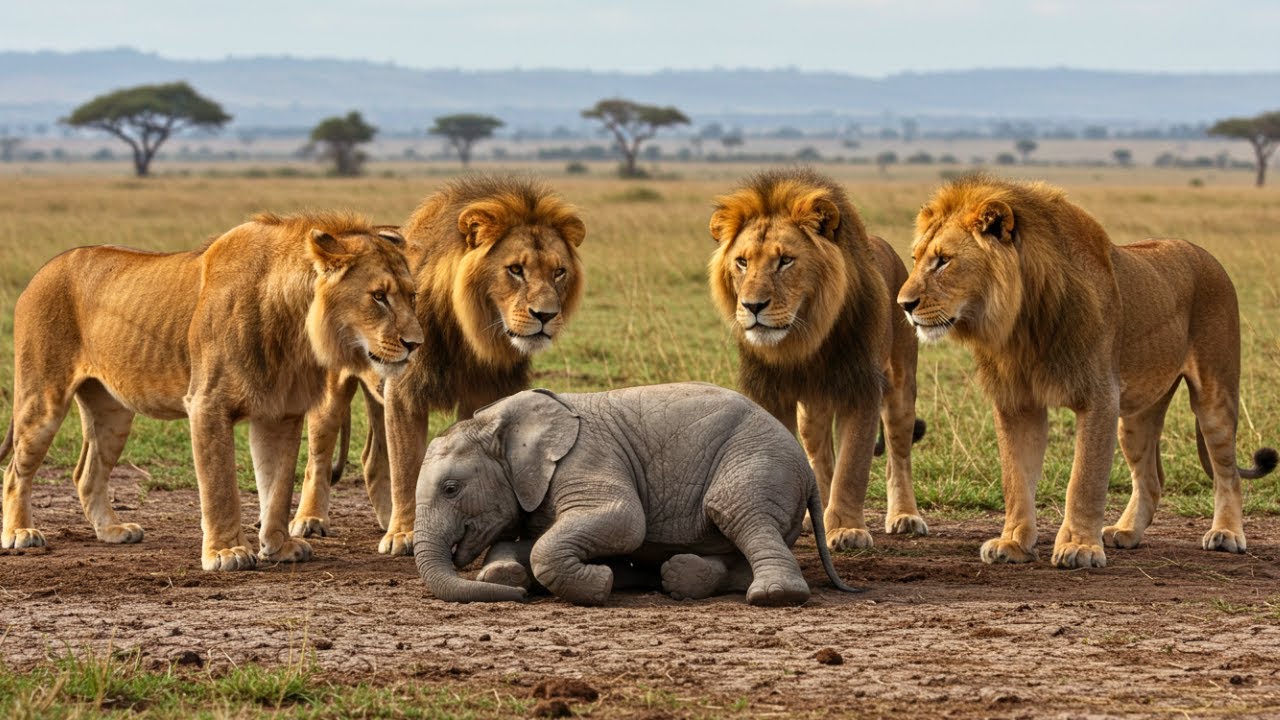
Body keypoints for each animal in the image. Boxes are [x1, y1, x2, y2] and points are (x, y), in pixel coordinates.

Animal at [0, 212, 423, 571]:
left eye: (412, 295)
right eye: (378, 296)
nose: (416, 344)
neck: (295, 325)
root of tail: (42, 271)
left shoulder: (280, 413)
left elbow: (277, 486)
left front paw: (278, 546)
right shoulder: (207, 404)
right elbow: (221, 487)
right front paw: (226, 552)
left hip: (113, 413)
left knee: (87, 473)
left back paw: (112, 531)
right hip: (43, 400)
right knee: (15, 470)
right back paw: (20, 533)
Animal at [288, 175, 586, 554]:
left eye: (559, 272)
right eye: (516, 270)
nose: (546, 316)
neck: (475, 336)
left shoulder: (485, 397)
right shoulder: (404, 393)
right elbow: (407, 467)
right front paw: (404, 535)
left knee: (373, 459)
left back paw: (384, 518)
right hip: (332, 391)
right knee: (318, 456)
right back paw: (310, 520)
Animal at [412, 382, 861, 606]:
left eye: (451, 489)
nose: (520, 599)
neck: (497, 421)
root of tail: (806, 471)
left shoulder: (586, 457)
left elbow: (625, 521)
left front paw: (599, 585)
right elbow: (532, 538)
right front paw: (505, 577)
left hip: (758, 464)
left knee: (737, 512)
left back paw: (773, 597)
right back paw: (679, 578)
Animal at [708, 168, 926, 551]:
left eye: (785, 260)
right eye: (742, 262)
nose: (752, 306)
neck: (804, 339)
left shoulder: (861, 388)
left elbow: (852, 467)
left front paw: (848, 530)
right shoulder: (770, 391)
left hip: (900, 386)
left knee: (898, 453)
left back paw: (905, 516)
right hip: (812, 410)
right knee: (820, 459)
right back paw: (817, 517)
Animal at [897, 173, 1276, 568]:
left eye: (943, 261)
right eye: (915, 258)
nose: (903, 304)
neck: (1021, 324)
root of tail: (1204, 253)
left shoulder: (1100, 397)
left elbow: (1084, 480)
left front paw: (1079, 547)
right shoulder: (1017, 403)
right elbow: (1016, 479)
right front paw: (1013, 542)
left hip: (1214, 394)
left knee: (1227, 472)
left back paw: (1227, 534)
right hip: (1137, 415)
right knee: (1151, 478)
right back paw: (1126, 531)